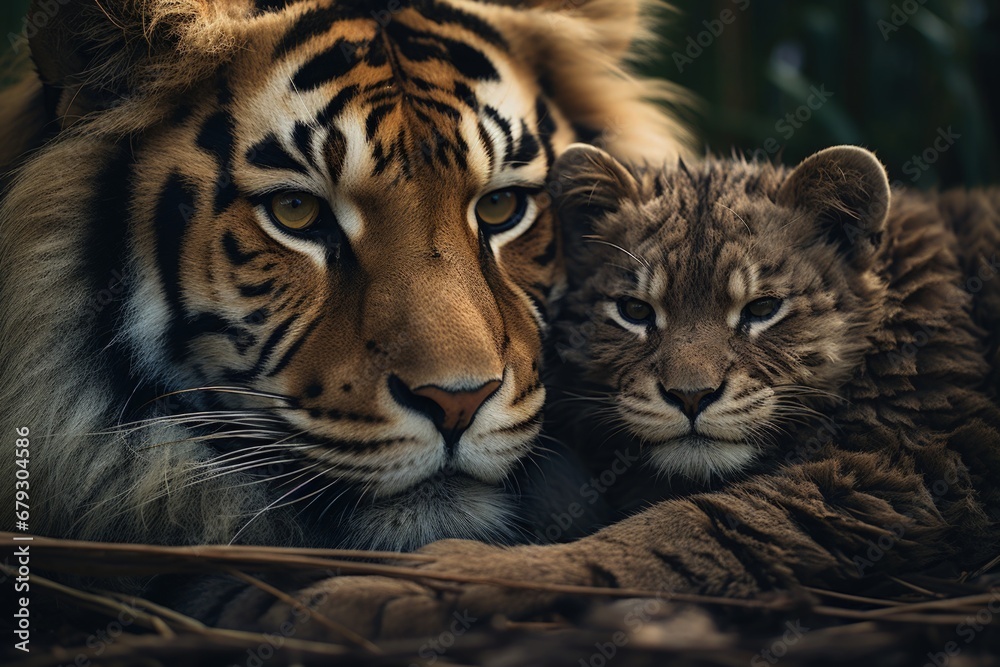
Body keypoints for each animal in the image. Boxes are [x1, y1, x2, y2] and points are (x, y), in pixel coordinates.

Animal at [235, 144, 1000, 640]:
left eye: (762, 310)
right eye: (634, 311)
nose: (691, 396)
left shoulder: (904, 470)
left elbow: (683, 530)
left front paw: (391, 586)